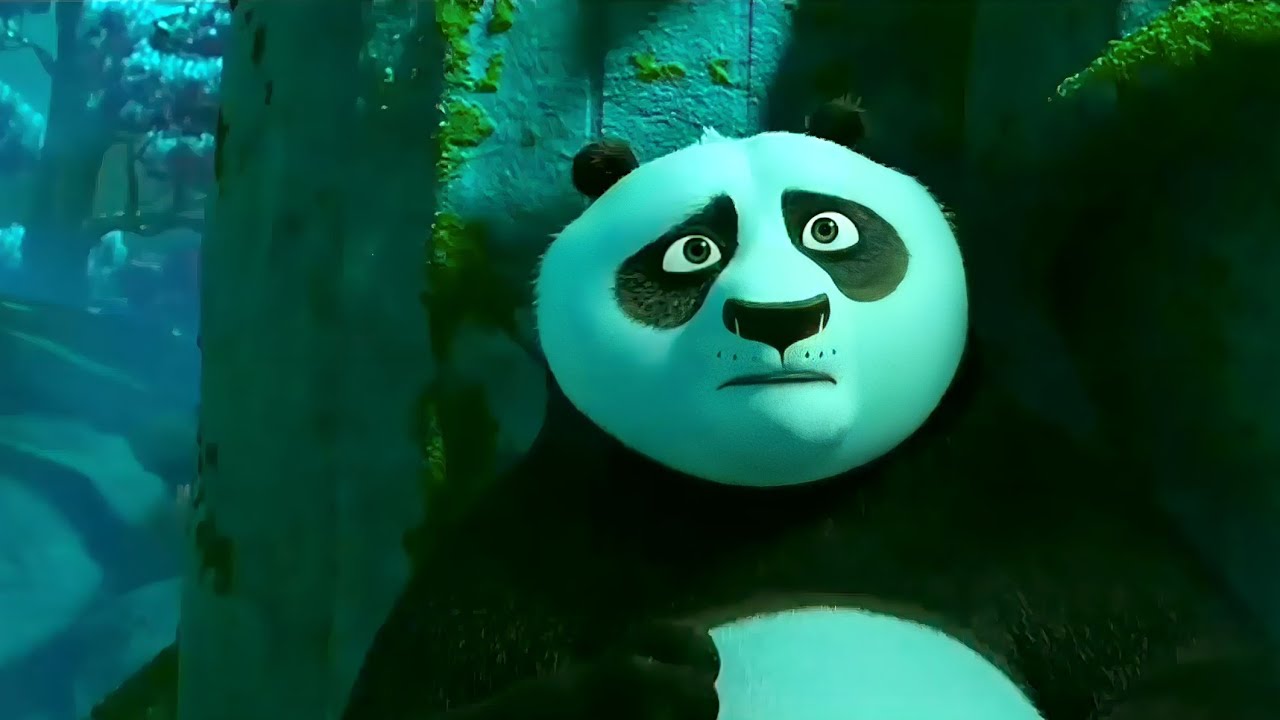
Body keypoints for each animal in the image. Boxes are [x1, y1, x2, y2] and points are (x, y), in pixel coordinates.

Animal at [342, 103, 1278, 720]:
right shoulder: (535, 539)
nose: (781, 319)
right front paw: (643, 684)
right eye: (692, 252)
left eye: (828, 230)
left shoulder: (1029, 505)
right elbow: (417, 704)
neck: (782, 493)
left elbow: (1196, 667)